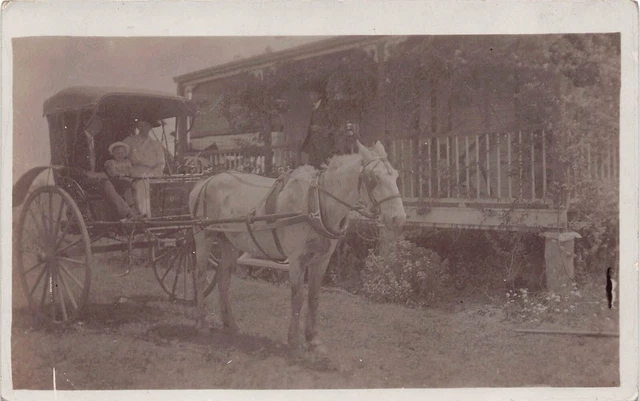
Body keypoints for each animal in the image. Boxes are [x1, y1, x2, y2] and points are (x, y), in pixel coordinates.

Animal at [188, 140, 406, 351]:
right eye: (374, 178)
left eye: (396, 175)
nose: (399, 218)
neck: (316, 204)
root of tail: (203, 183)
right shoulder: (296, 260)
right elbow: (297, 297)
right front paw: (293, 340)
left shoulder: (321, 260)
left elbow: (313, 298)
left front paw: (313, 339)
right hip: (204, 237)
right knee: (200, 276)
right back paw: (202, 324)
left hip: (229, 243)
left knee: (224, 281)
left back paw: (231, 325)